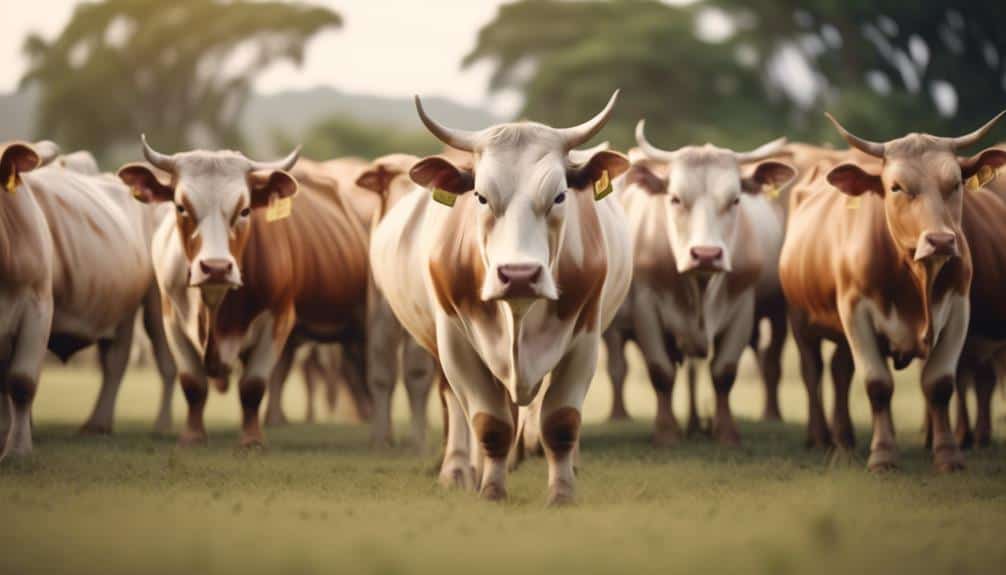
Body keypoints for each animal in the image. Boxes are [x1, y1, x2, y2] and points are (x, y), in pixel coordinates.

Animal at [0, 141, 177, 457]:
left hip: (152, 304)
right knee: (112, 361)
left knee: (141, 361)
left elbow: (21, 380)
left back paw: (129, 425)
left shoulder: (38, 306)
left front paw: (18, 449)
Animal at [118, 138, 370, 448]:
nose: (216, 268)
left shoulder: (277, 319)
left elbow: (253, 385)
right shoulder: (172, 321)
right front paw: (192, 436)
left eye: (245, 210)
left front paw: (251, 440)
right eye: (181, 207)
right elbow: (192, 383)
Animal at [370, 92, 632, 504]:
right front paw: (491, 489)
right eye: (480, 196)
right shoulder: (455, 342)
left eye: (559, 196)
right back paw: (462, 469)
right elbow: (489, 423)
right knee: (459, 407)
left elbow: (560, 422)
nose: (519, 275)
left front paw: (562, 493)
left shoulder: (585, 338)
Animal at [600, 123, 795, 445]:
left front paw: (726, 432)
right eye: (675, 198)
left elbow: (724, 372)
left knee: (769, 364)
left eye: (735, 200)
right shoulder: (646, 308)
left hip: (778, 313)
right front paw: (666, 432)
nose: (706, 254)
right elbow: (661, 372)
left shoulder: (743, 306)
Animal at [779, 111, 1006, 471]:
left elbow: (940, 383)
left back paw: (845, 440)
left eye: (955, 184)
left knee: (840, 371)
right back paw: (821, 438)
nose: (941, 240)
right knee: (812, 371)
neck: (915, 277)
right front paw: (883, 455)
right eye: (896, 187)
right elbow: (877, 384)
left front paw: (947, 454)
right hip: (801, 319)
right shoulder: (855, 312)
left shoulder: (959, 309)